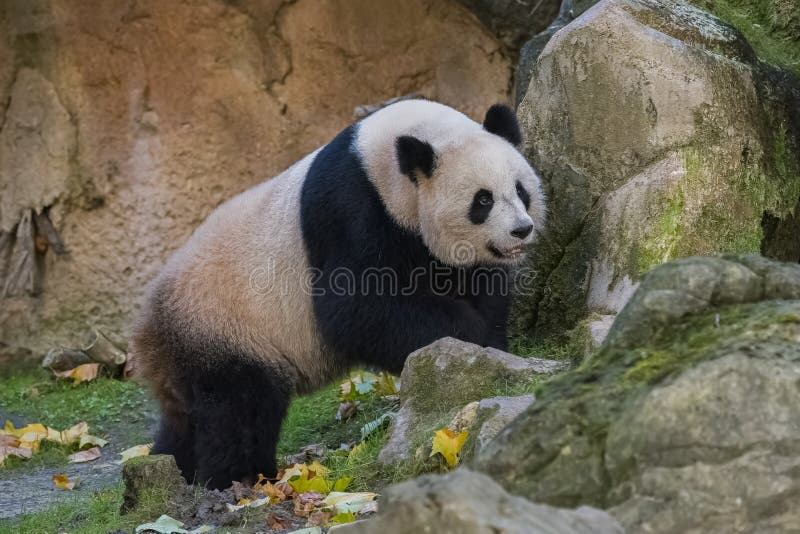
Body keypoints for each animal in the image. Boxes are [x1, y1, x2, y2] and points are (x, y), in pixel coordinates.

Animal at [131, 99, 545, 490]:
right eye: (482, 200)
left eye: (520, 190)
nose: (521, 230)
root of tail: (147, 328)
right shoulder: (352, 211)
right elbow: (355, 308)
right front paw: (467, 340)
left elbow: (478, 284)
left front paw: (490, 345)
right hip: (223, 324)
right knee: (237, 408)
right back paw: (236, 478)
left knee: (186, 417)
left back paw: (171, 467)